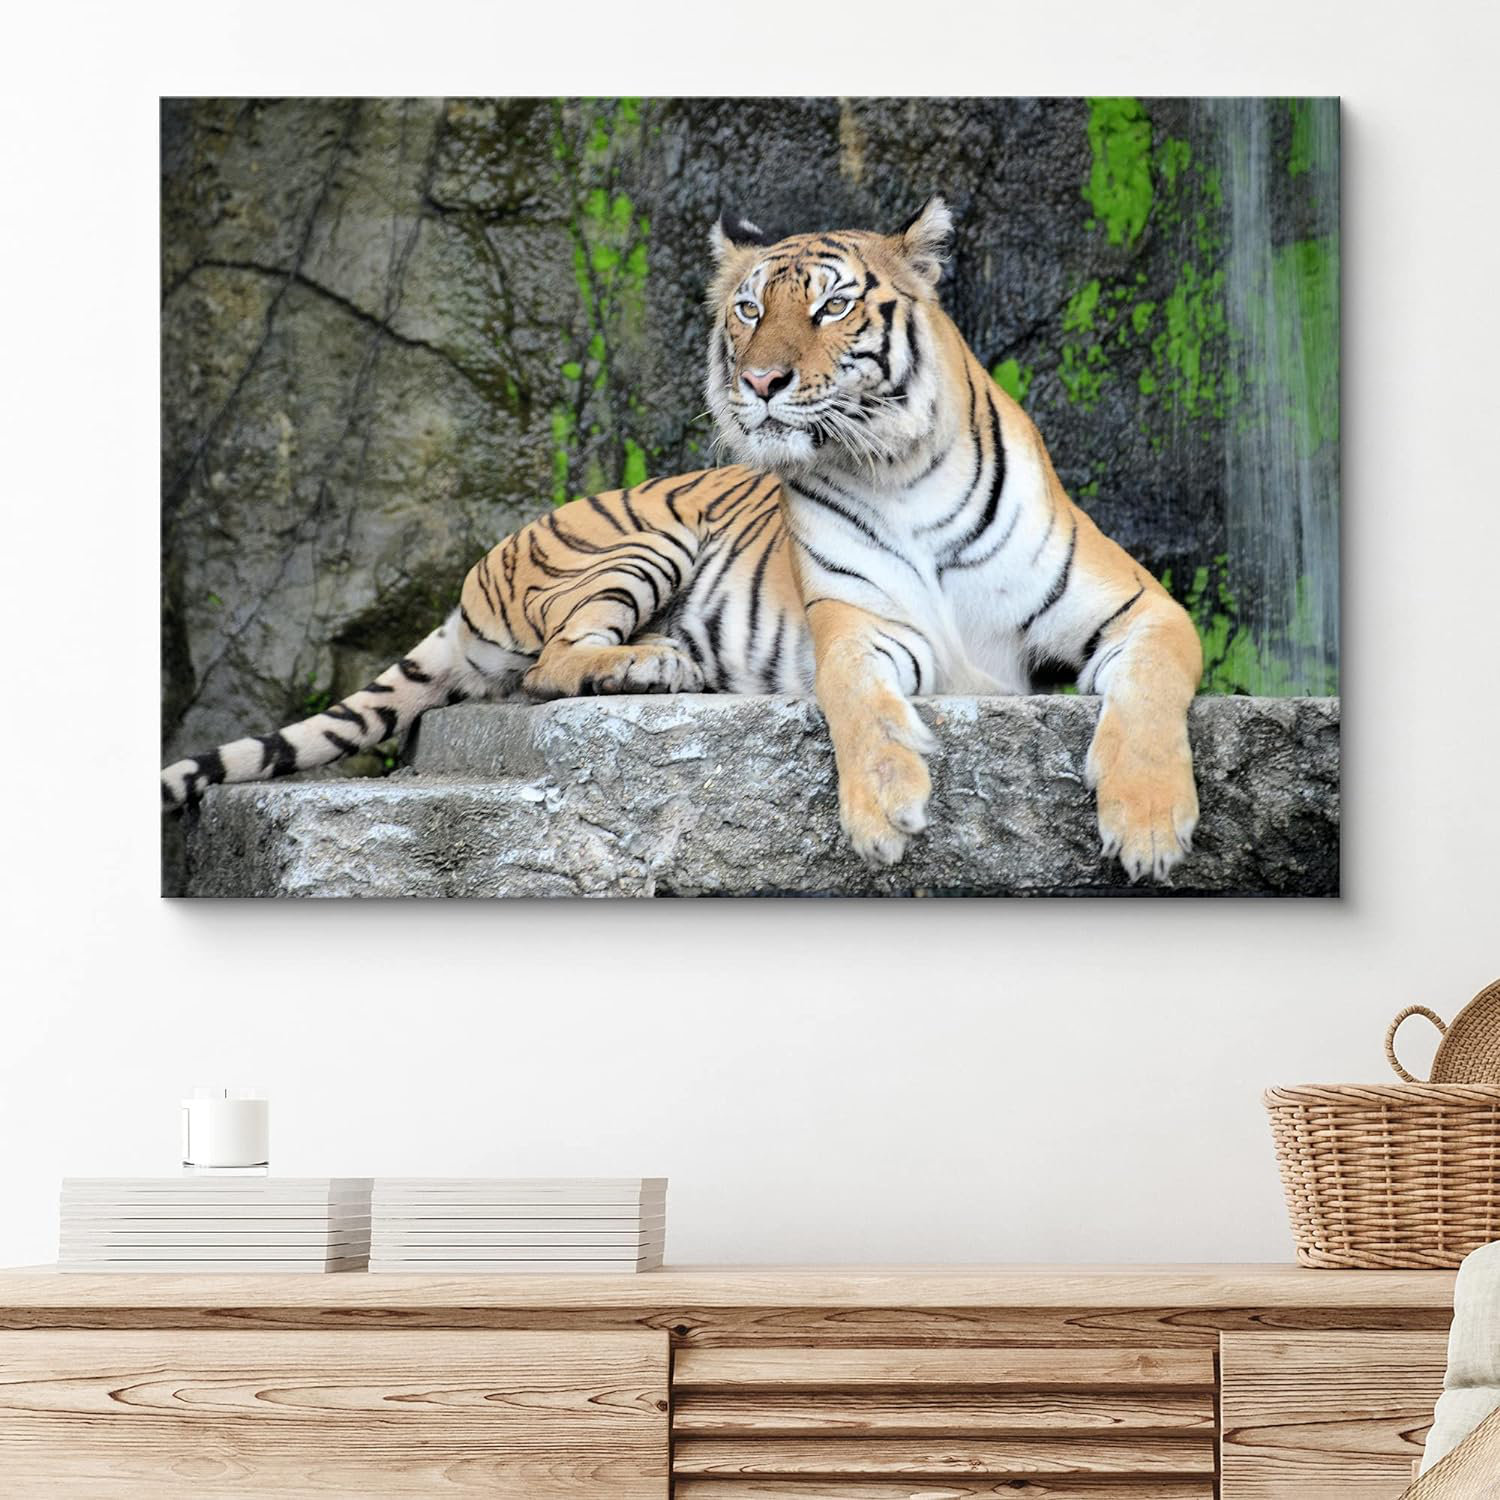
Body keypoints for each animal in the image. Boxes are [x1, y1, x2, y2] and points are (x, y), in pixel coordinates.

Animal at [162, 196, 1203, 882]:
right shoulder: (860, 626)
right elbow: (858, 705)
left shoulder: (1144, 609)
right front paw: (882, 815)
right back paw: (658, 664)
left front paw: (1151, 829)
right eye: (747, 308)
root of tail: (471, 577)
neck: (896, 467)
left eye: (831, 306)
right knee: (551, 666)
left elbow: (1151, 695)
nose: (761, 381)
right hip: (637, 546)